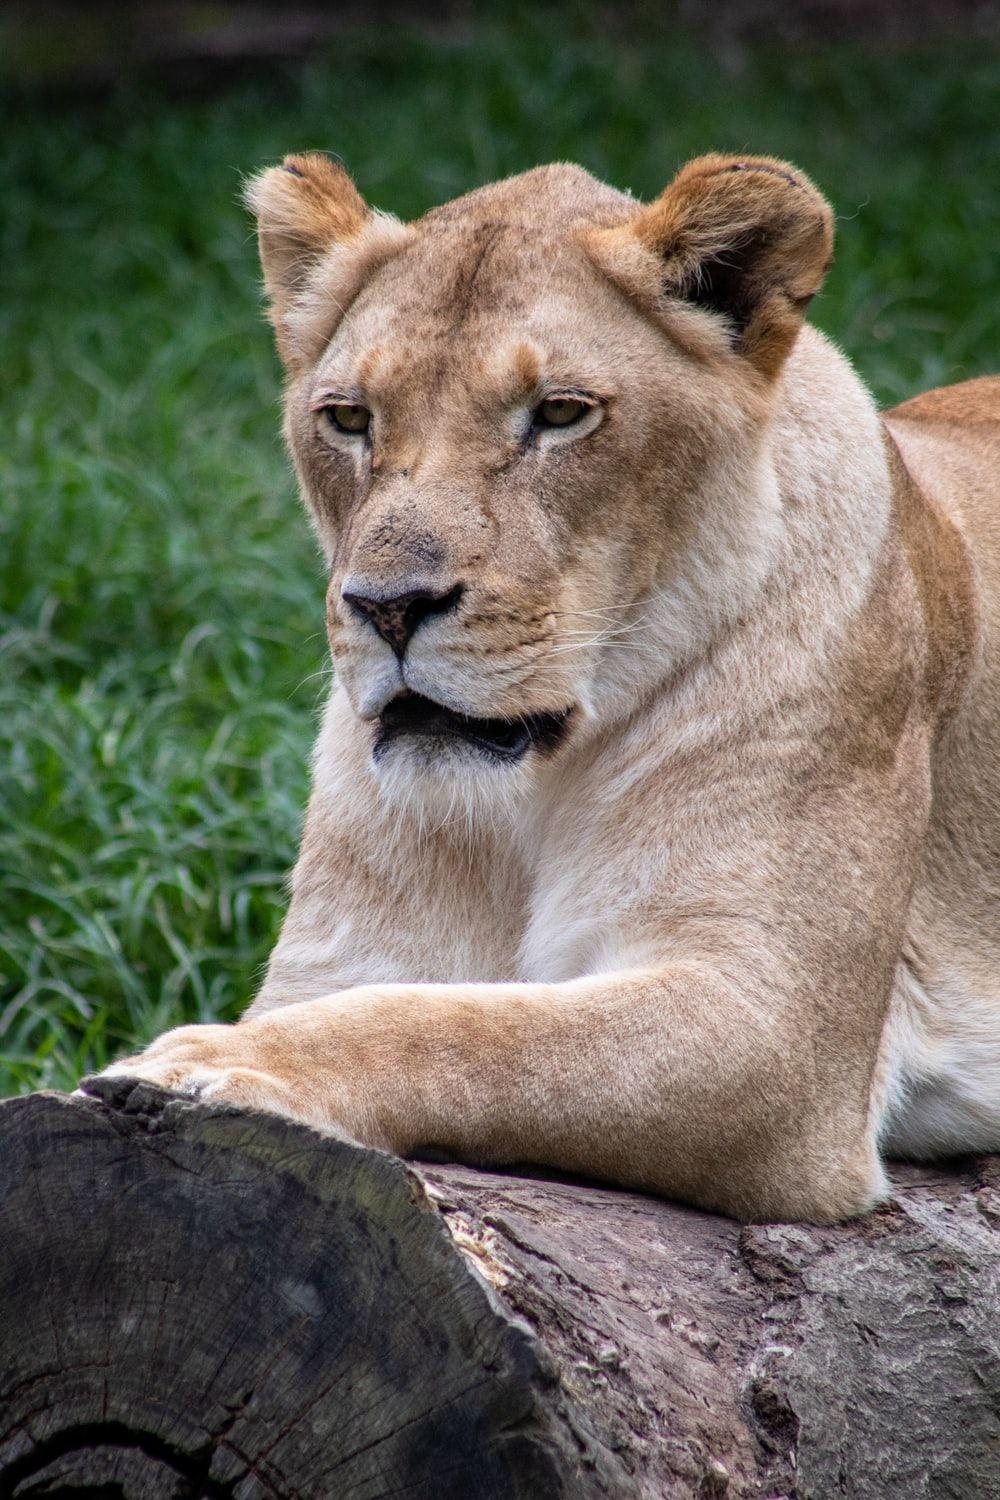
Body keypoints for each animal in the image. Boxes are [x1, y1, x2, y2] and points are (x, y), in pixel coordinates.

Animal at [93, 151, 1000, 1224]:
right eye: (349, 418)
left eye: (561, 413)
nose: (388, 608)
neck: (524, 801)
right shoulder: (336, 957)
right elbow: (416, 1002)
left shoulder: (773, 1029)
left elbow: (465, 1030)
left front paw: (206, 1063)